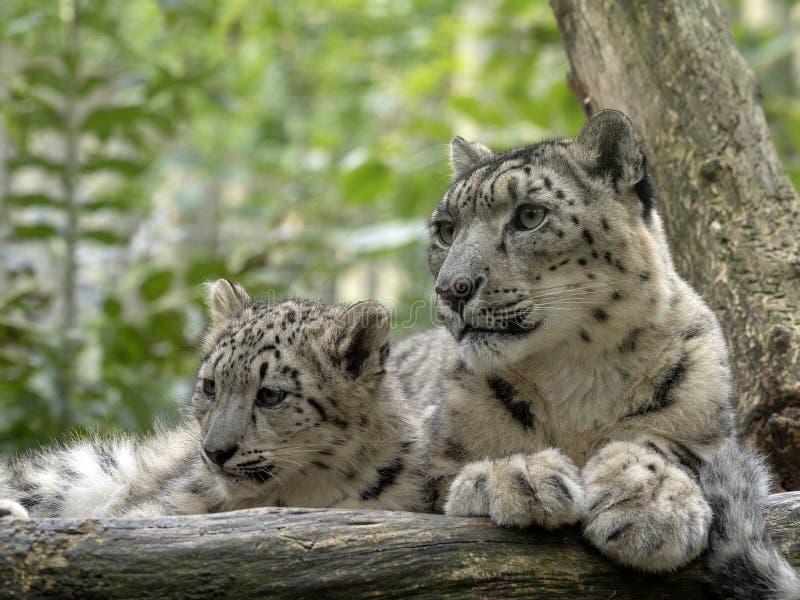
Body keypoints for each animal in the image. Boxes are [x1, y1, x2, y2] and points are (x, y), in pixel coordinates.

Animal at [392, 110, 800, 599]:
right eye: (446, 229)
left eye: (530, 215)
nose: (452, 289)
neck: (576, 370)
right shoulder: (425, 463)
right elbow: (445, 478)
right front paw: (515, 476)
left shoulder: (712, 428)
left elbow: (672, 446)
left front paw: (648, 501)